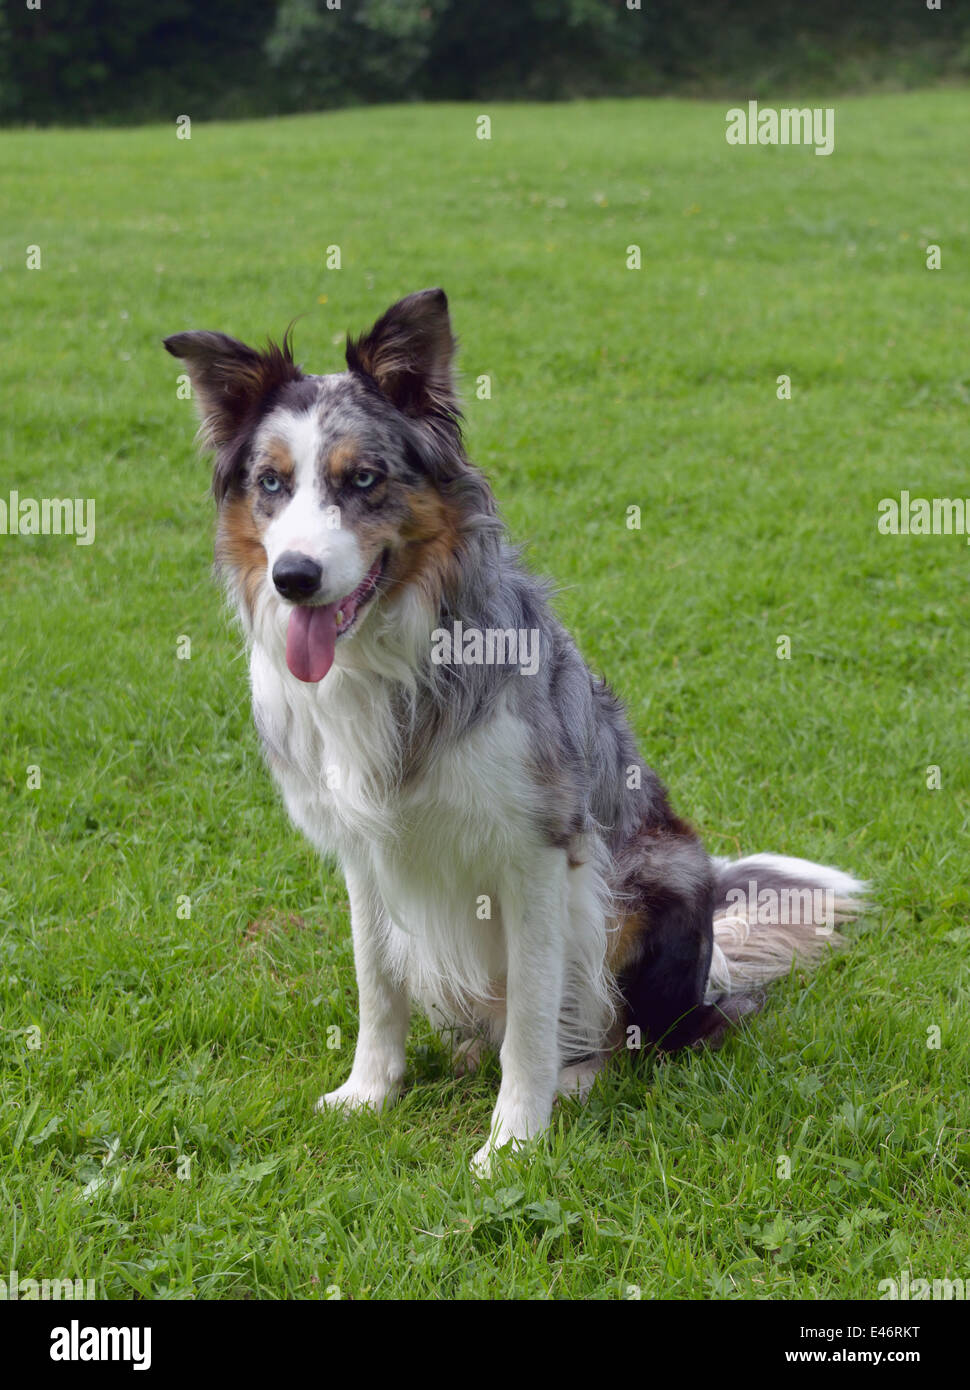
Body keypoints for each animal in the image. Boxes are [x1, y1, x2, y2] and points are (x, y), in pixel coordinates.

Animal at [162, 290, 867, 1173]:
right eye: (271, 483)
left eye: (363, 479)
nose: (294, 577)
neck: (392, 658)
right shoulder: (365, 852)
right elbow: (376, 983)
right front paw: (369, 1093)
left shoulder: (537, 851)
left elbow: (534, 1013)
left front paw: (515, 1138)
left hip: (654, 876)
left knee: (647, 1032)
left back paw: (579, 1075)